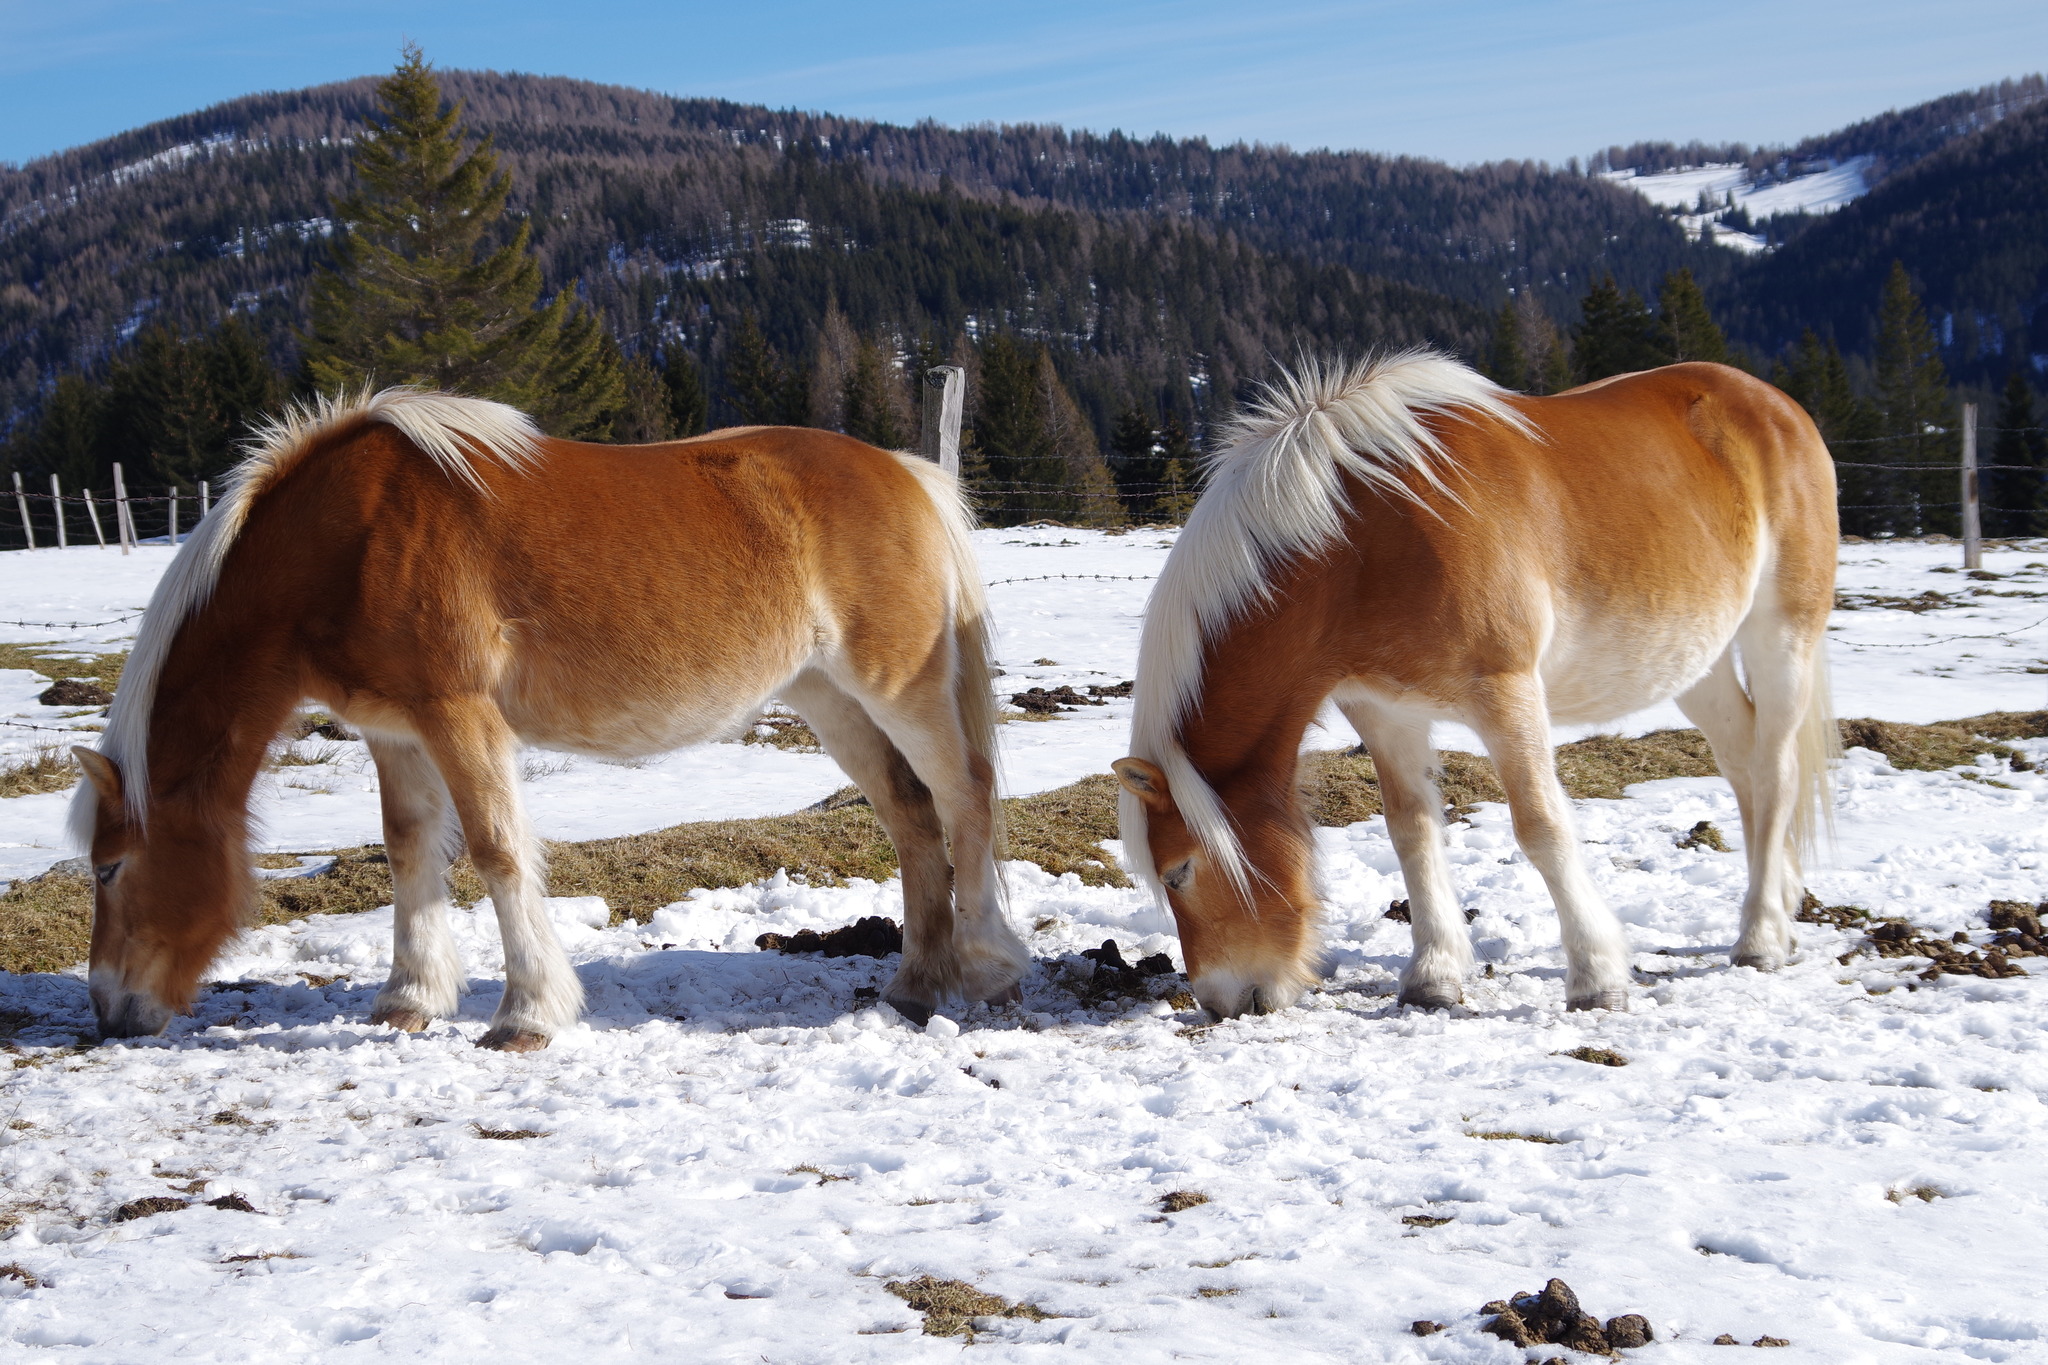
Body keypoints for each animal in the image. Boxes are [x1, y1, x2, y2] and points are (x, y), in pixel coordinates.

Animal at [71, 388, 1028, 1049]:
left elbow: (497, 851)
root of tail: (907, 471)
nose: (110, 1012)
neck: (347, 538)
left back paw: (988, 966)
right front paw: (408, 1000)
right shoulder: (394, 730)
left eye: (111, 867)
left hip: (896, 687)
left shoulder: (459, 717)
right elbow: (409, 851)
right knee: (911, 815)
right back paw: (915, 986)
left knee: (965, 794)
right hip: (830, 698)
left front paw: (526, 1013)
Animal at [1112, 354, 1837, 1021]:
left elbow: (1542, 827)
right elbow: (1412, 833)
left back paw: (1762, 937)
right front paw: (1433, 977)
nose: (1220, 1002)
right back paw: (1780, 906)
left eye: (1179, 871)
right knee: (1743, 767)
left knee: (1773, 773)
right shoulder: (1383, 710)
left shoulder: (1506, 695)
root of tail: (1775, 405)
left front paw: (1597, 977)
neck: (1364, 541)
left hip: (1781, 640)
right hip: (1696, 662)